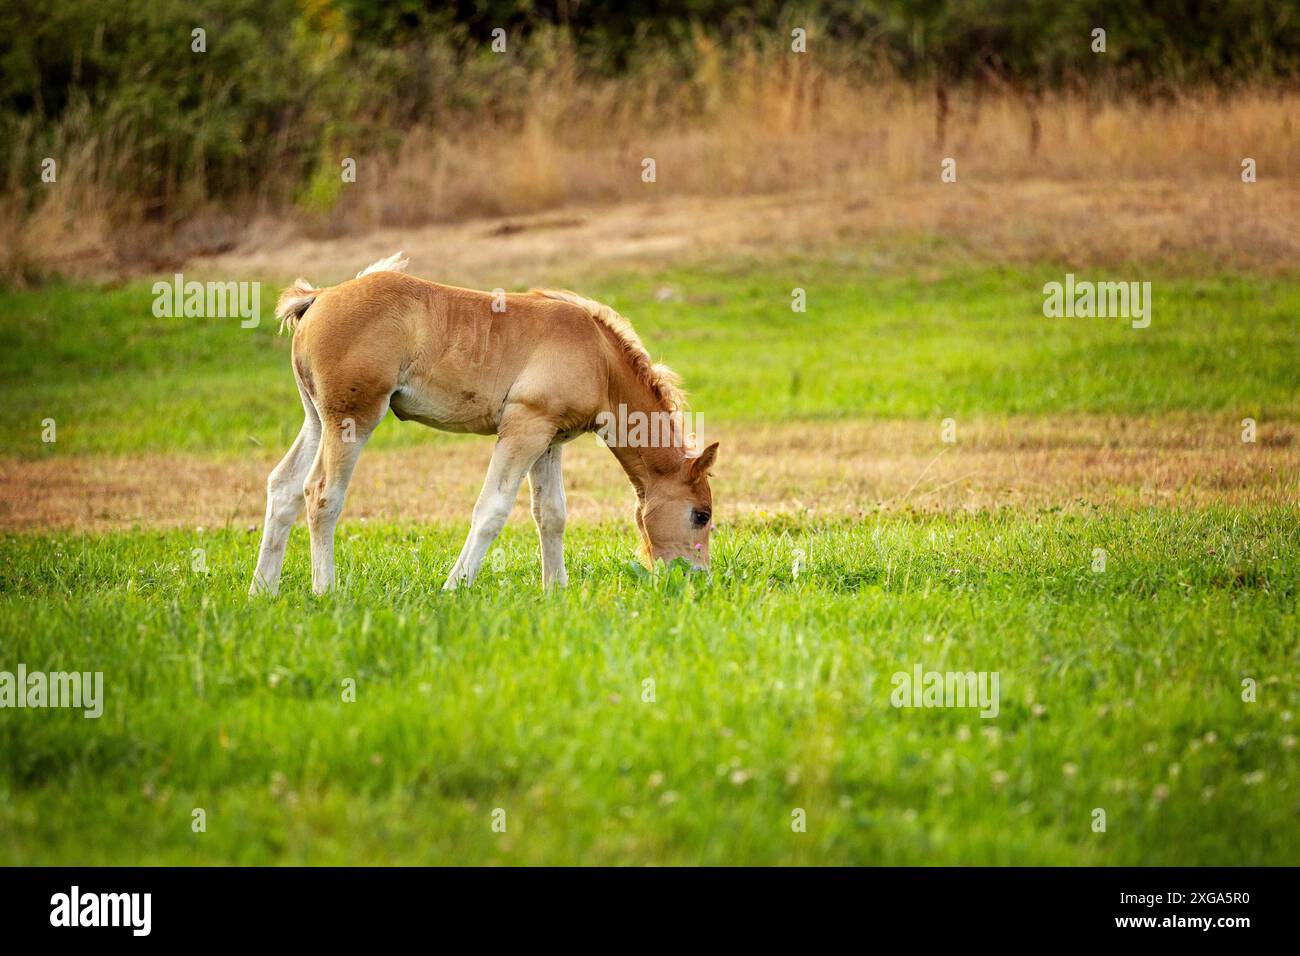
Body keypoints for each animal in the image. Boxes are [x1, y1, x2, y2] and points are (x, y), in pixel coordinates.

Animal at [249, 253, 718, 595]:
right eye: (701, 515)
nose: (696, 579)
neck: (598, 357)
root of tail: (319, 297)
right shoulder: (524, 429)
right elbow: (491, 510)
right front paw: (454, 587)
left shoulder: (549, 440)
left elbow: (551, 514)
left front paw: (556, 592)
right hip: (352, 420)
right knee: (320, 493)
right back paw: (325, 591)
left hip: (316, 420)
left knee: (283, 486)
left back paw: (262, 591)